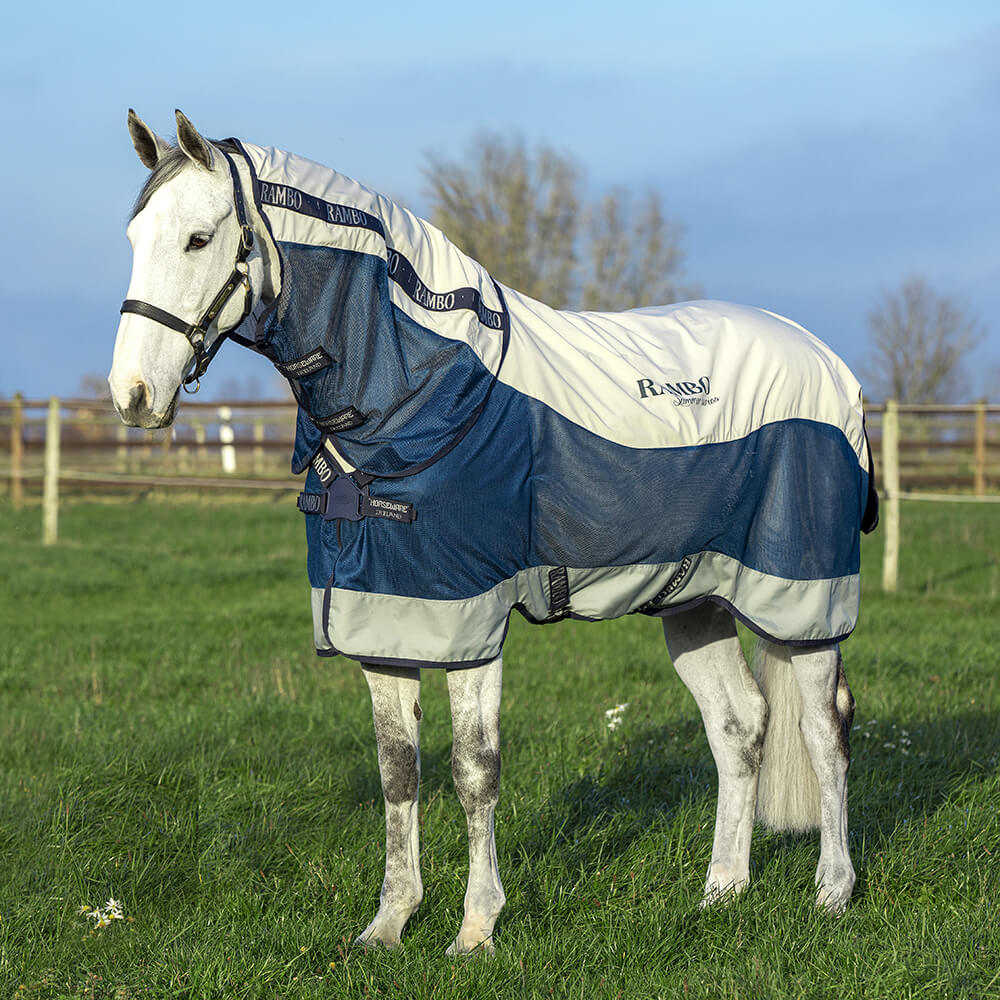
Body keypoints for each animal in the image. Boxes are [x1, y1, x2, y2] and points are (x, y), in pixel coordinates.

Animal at [109, 110, 878, 955]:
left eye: (198, 239)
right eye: (135, 235)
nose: (132, 396)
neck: (420, 396)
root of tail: (832, 369)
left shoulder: (469, 621)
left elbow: (475, 771)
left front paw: (475, 929)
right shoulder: (387, 620)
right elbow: (398, 772)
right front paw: (389, 923)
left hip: (801, 597)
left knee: (823, 730)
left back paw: (833, 892)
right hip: (694, 601)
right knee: (739, 728)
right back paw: (721, 892)